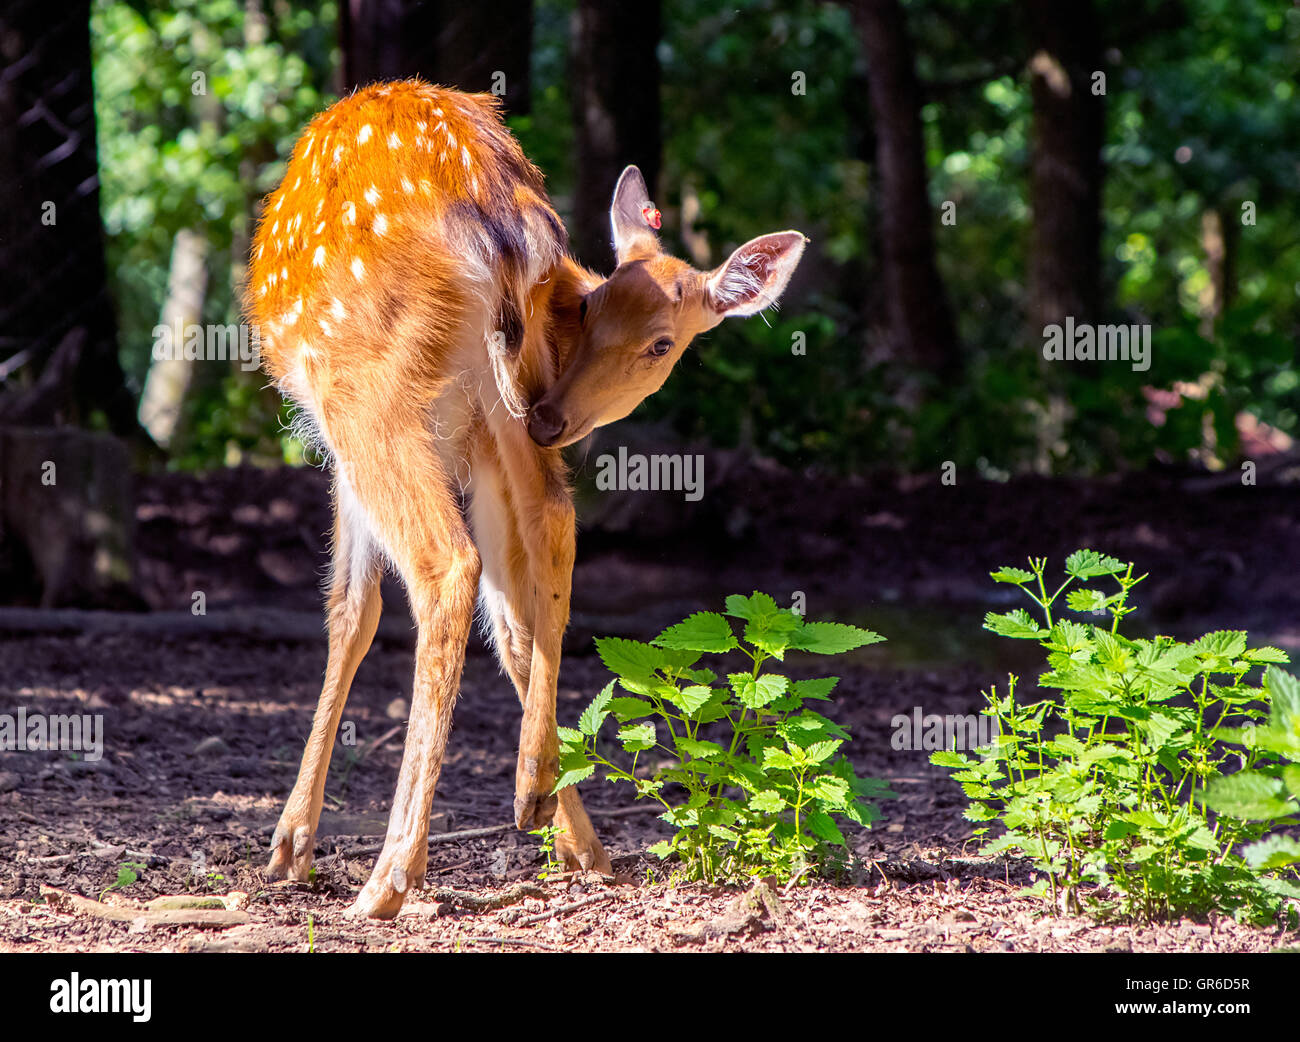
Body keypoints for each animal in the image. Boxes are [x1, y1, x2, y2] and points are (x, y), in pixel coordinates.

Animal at [247, 80, 806, 918]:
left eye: (662, 344)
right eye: (591, 311)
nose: (558, 413)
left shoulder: (341, 430)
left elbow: (350, 608)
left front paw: (290, 846)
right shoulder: (500, 417)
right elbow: (509, 616)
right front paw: (574, 838)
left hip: (365, 384)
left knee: (446, 566)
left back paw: (390, 877)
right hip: (504, 397)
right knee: (552, 530)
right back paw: (540, 798)